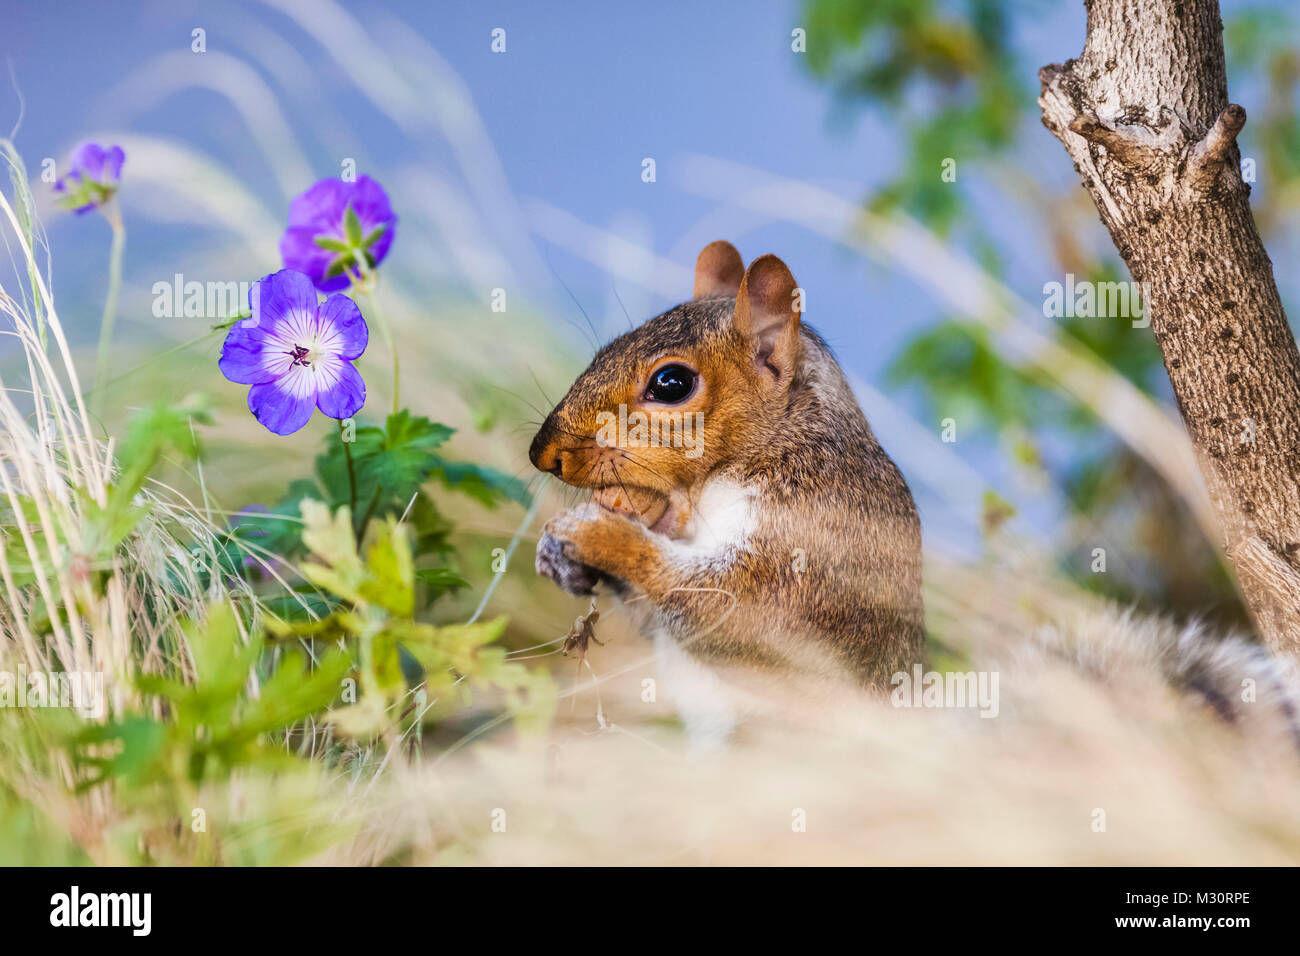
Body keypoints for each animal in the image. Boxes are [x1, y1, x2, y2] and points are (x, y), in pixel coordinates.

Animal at [530, 241, 924, 743]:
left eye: (671, 383)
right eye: (603, 350)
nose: (542, 453)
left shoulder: (817, 536)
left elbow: (736, 610)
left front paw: (600, 534)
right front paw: (557, 555)